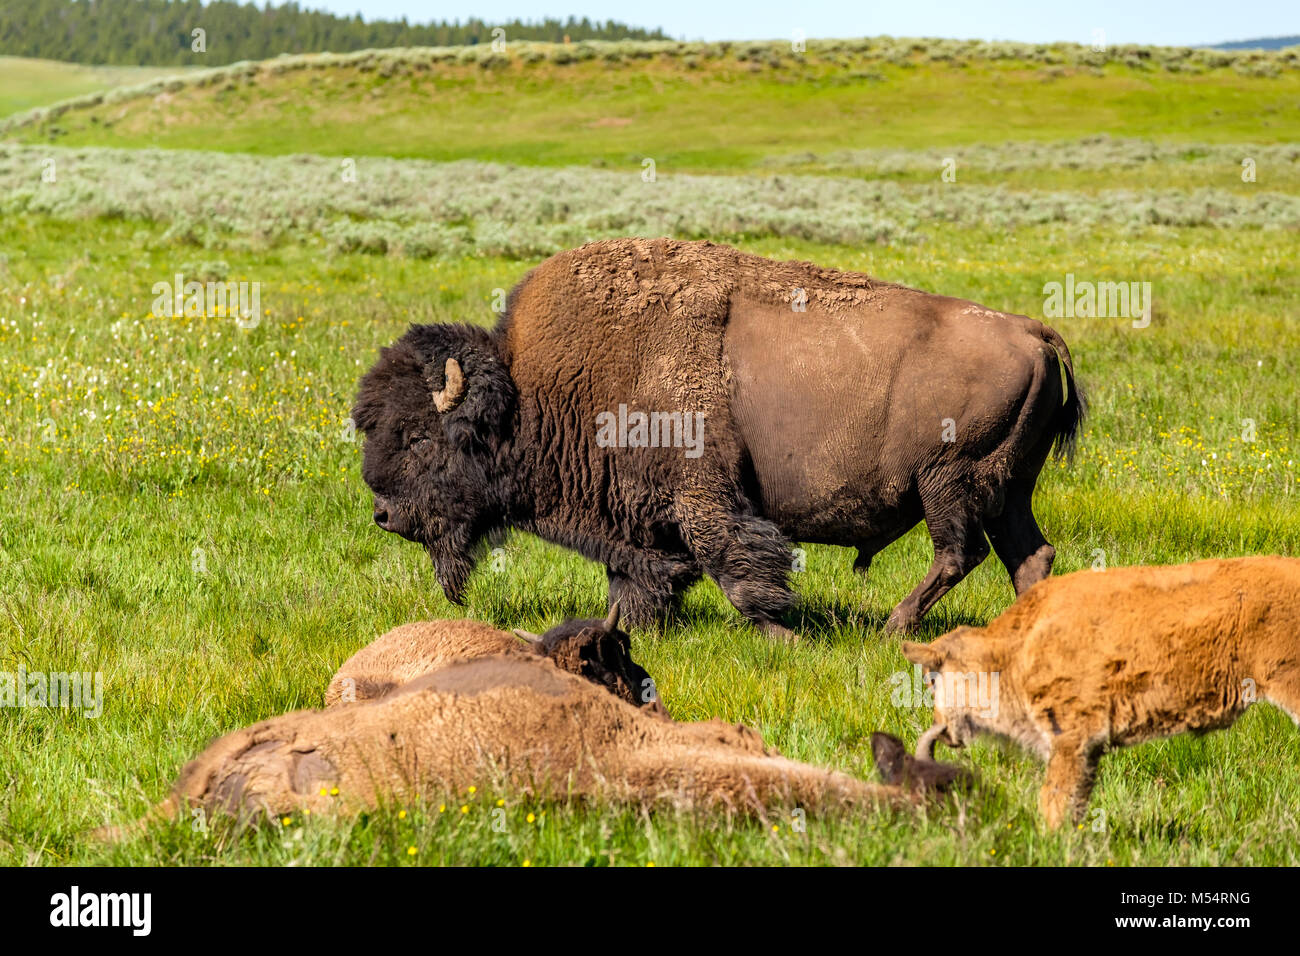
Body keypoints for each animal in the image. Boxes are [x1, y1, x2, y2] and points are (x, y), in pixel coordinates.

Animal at [354, 238, 1084, 635]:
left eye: (419, 438)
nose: (384, 514)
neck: (530, 393)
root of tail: (1033, 332)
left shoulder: (703, 495)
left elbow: (733, 563)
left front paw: (781, 631)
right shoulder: (637, 519)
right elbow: (641, 575)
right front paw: (631, 627)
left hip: (950, 481)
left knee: (959, 553)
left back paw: (893, 626)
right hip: (1008, 490)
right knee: (1028, 556)